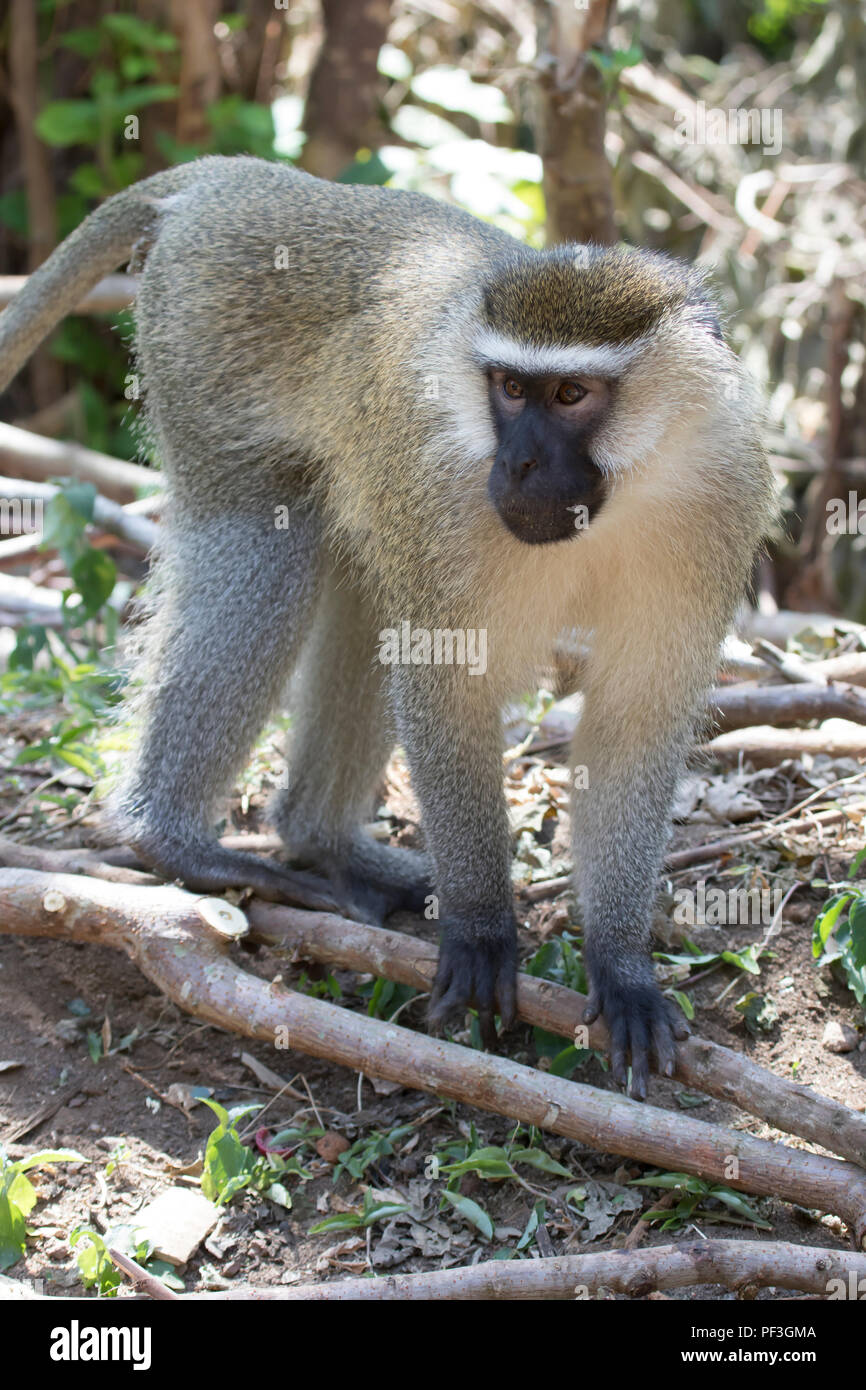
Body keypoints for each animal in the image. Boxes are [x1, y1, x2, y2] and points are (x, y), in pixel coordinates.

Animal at [0, 156, 774, 1097]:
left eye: (570, 394)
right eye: (509, 388)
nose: (516, 463)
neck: (631, 488)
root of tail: (239, 178)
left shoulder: (719, 500)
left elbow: (637, 721)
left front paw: (621, 965)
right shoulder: (444, 498)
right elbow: (443, 686)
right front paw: (481, 927)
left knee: (357, 581)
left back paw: (319, 839)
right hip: (199, 349)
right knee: (267, 540)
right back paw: (176, 844)